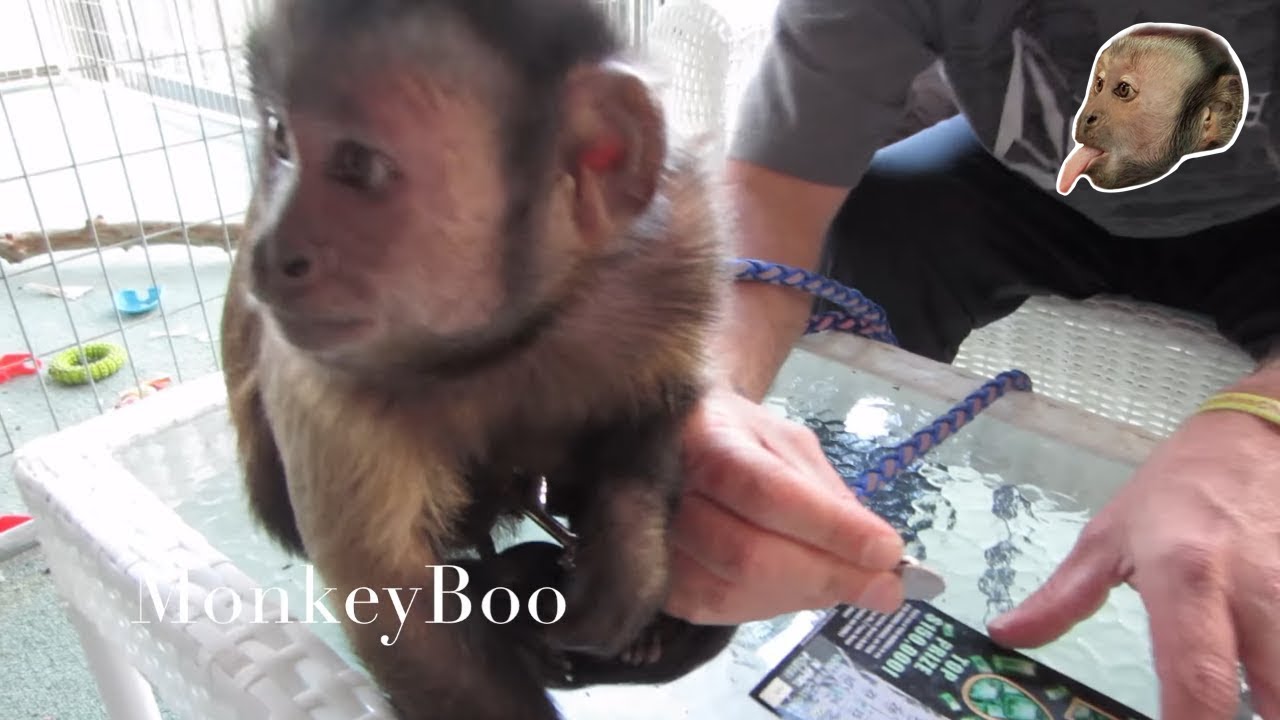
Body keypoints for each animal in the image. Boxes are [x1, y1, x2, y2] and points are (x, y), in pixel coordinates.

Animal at [218, 0, 738, 717]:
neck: (506, 334)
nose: (270, 256)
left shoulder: (679, 244)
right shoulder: (326, 381)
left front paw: (630, 557)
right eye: (279, 139)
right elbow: (399, 607)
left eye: (361, 166)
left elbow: (661, 398)